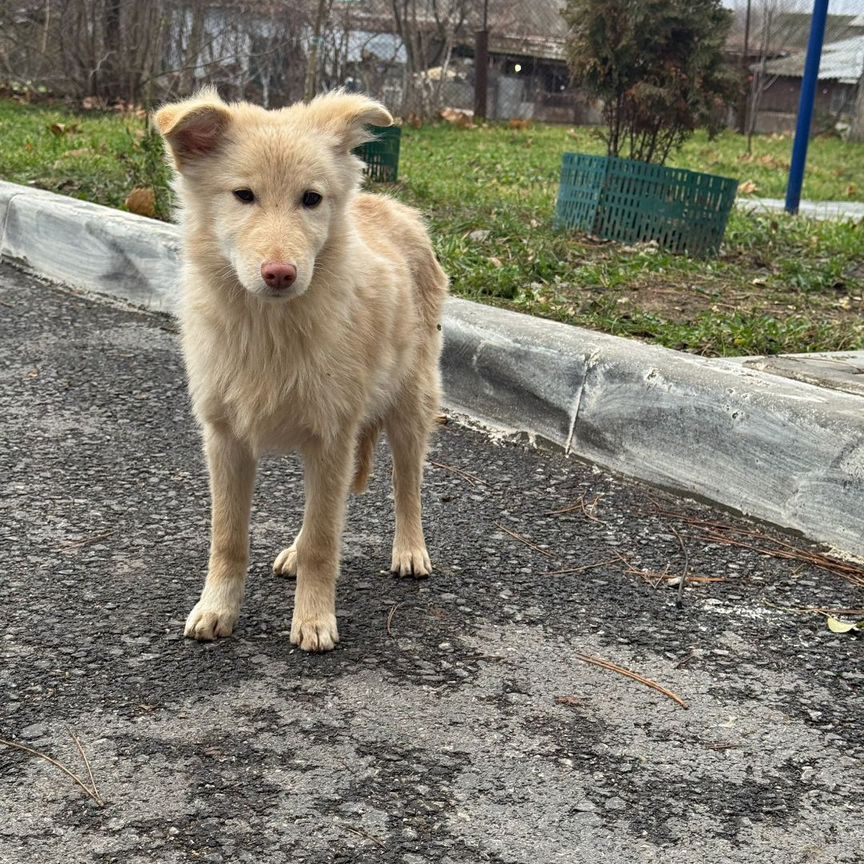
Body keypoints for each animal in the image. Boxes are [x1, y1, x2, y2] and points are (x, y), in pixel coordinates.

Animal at [155, 89, 448, 656]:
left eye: (311, 200)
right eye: (243, 195)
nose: (280, 274)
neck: (269, 327)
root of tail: (392, 206)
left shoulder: (331, 434)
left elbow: (323, 539)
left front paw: (313, 619)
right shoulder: (225, 439)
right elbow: (228, 537)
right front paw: (217, 608)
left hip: (412, 402)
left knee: (406, 484)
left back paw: (410, 550)